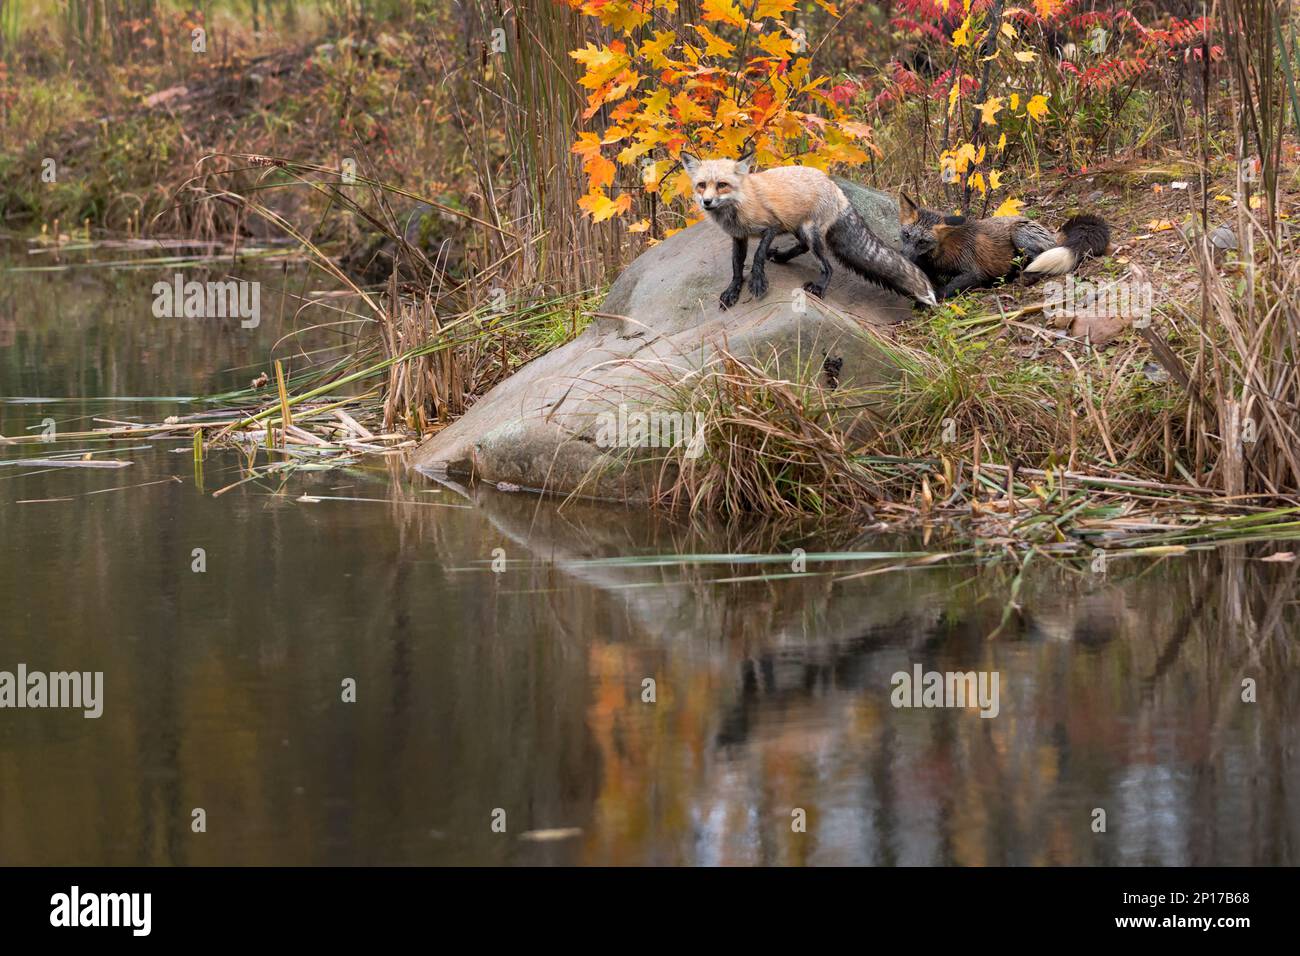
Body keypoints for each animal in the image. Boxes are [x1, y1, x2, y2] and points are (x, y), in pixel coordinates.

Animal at [681, 151, 937, 310]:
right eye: (701, 185)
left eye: (722, 185)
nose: (707, 202)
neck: (740, 203)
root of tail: (837, 189)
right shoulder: (739, 236)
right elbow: (736, 265)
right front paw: (733, 291)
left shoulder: (771, 225)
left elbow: (757, 256)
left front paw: (758, 281)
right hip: (799, 229)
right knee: (802, 247)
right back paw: (782, 257)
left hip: (810, 232)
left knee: (827, 266)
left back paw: (820, 287)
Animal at [898, 193, 1111, 301]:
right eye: (906, 235)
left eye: (922, 242)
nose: (904, 257)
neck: (941, 253)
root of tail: (1051, 234)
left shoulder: (973, 272)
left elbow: (946, 289)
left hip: (1019, 234)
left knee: (1037, 265)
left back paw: (1019, 277)